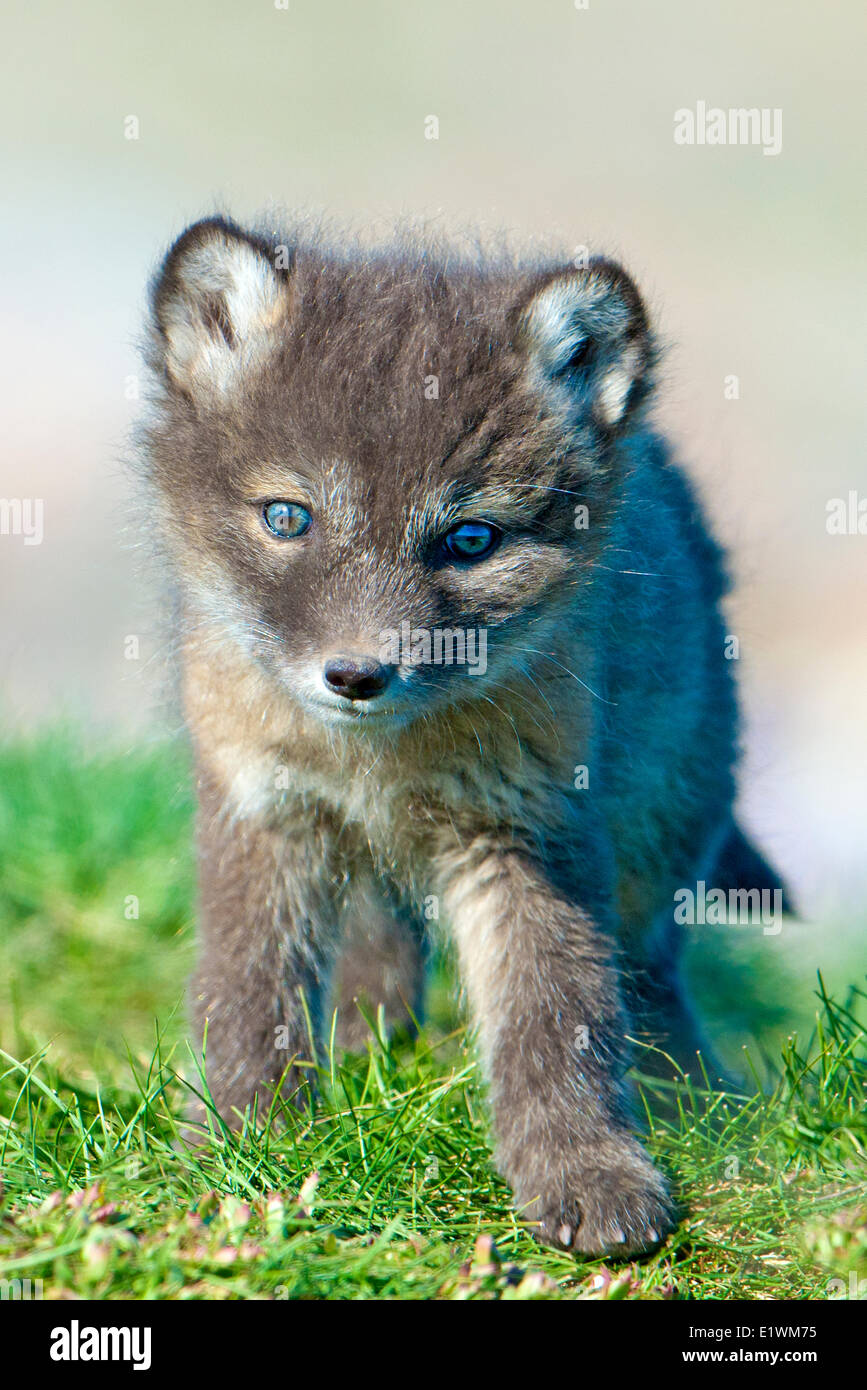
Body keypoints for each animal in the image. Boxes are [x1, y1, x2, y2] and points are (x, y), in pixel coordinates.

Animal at [141, 214, 788, 1257]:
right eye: (287, 516)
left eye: (471, 539)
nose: (357, 675)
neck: (377, 759)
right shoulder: (263, 805)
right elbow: (248, 989)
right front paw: (242, 1143)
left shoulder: (529, 825)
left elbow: (556, 1009)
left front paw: (586, 1169)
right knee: (380, 934)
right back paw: (371, 1046)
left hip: (666, 823)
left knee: (649, 971)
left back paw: (689, 1095)